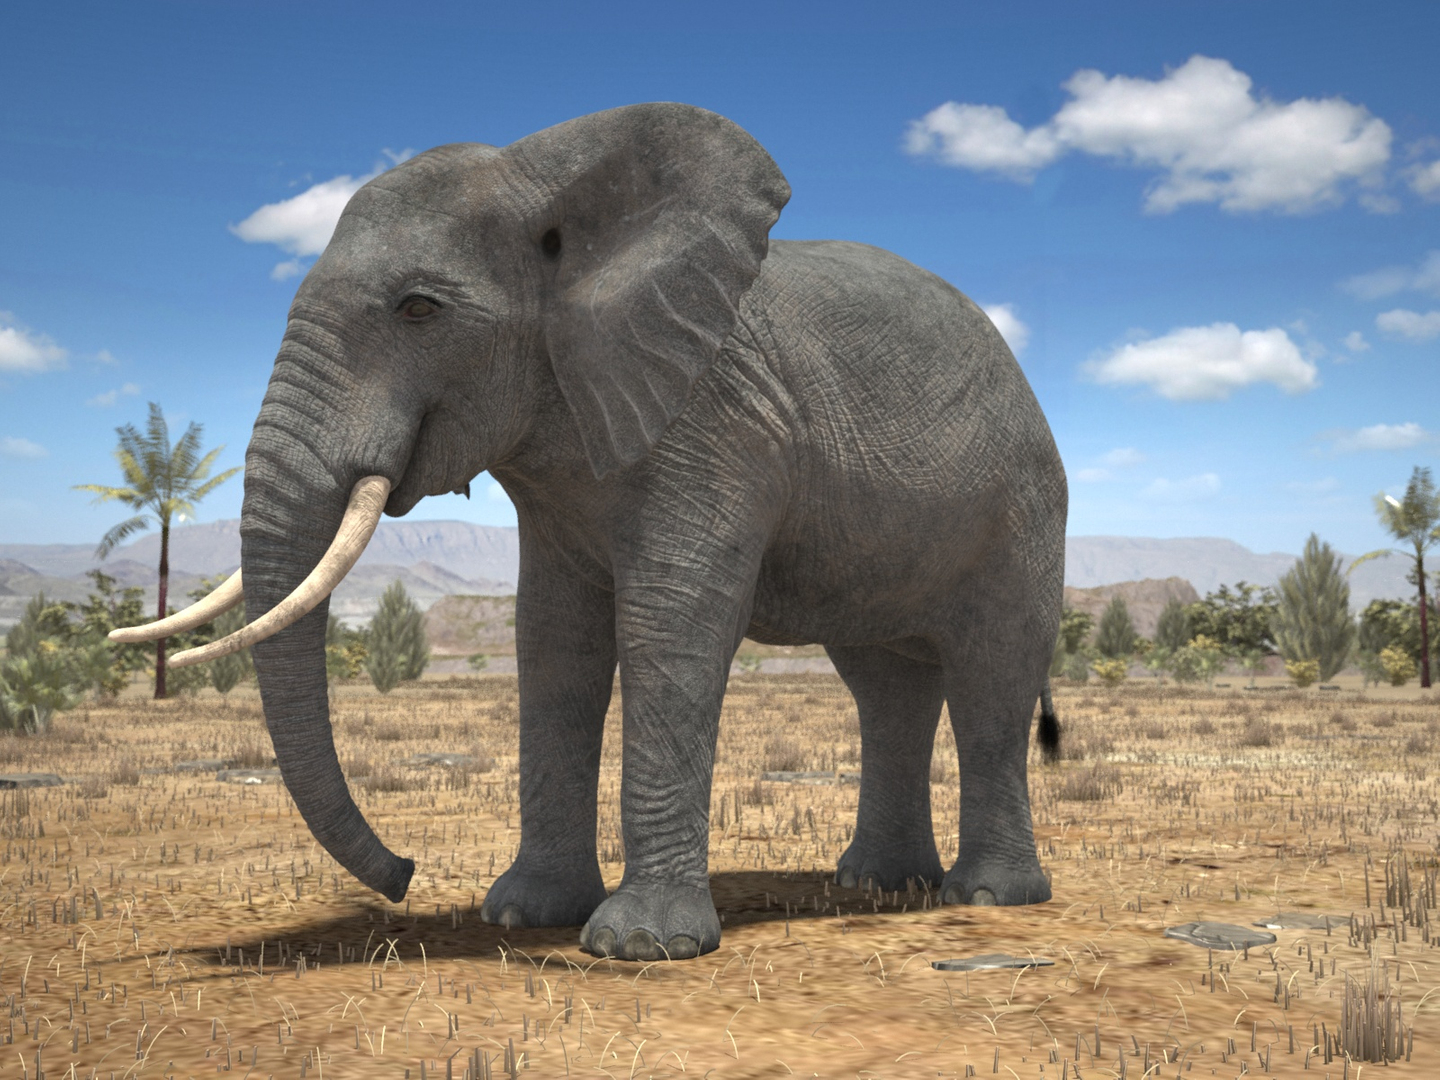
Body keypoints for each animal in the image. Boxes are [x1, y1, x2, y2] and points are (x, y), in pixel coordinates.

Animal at [125, 102, 1067, 962]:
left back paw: (986, 896)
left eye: (419, 309)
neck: (553, 184)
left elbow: (667, 629)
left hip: (1022, 507)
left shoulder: (715, 425)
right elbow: (554, 642)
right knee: (886, 687)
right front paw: (524, 915)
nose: (405, 873)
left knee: (991, 673)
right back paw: (877, 883)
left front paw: (639, 946)